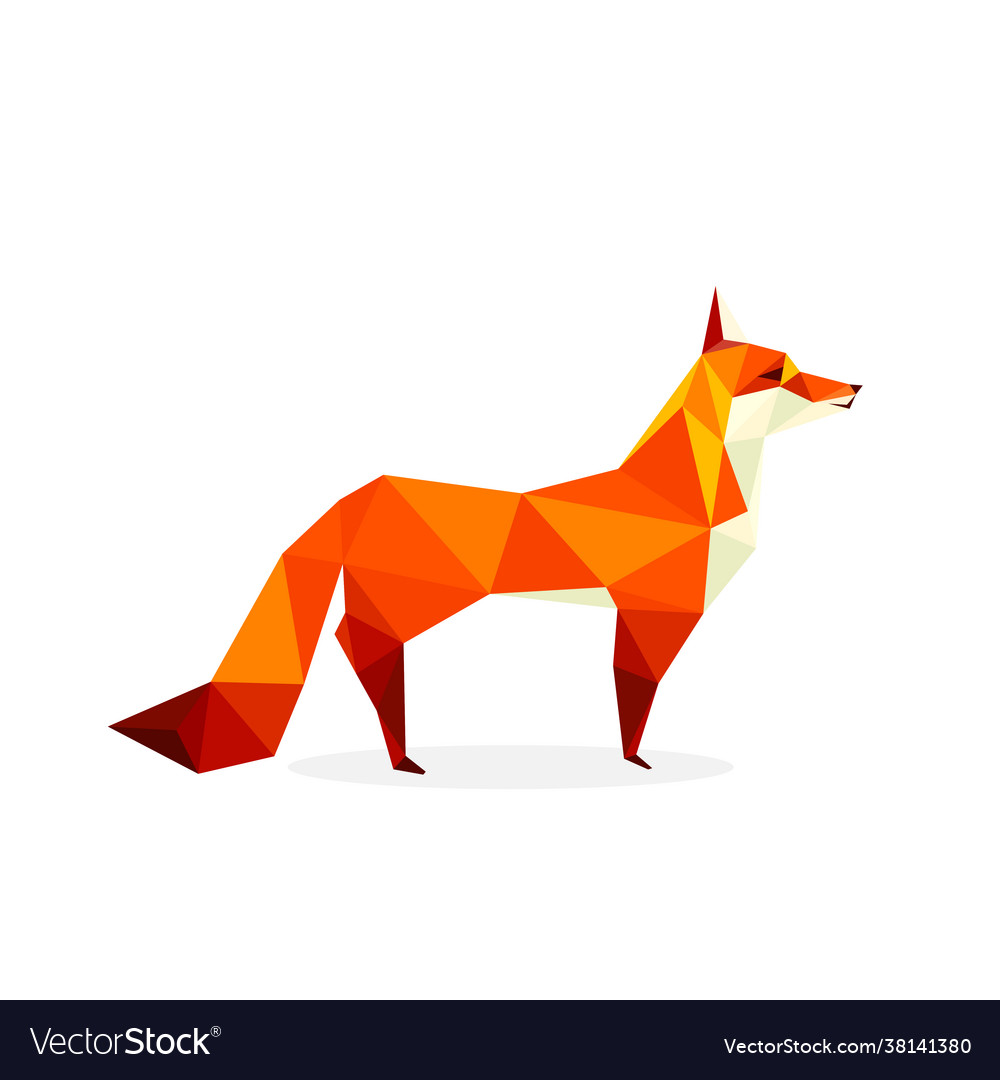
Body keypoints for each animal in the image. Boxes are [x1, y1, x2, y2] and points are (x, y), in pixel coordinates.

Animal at [112, 291, 861, 775]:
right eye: (778, 372)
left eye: (797, 362)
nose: (854, 385)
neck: (683, 496)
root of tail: (359, 493)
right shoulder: (652, 616)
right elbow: (632, 693)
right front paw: (634, 758)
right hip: (416, 603)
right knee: (359, 647)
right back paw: (404, 758)